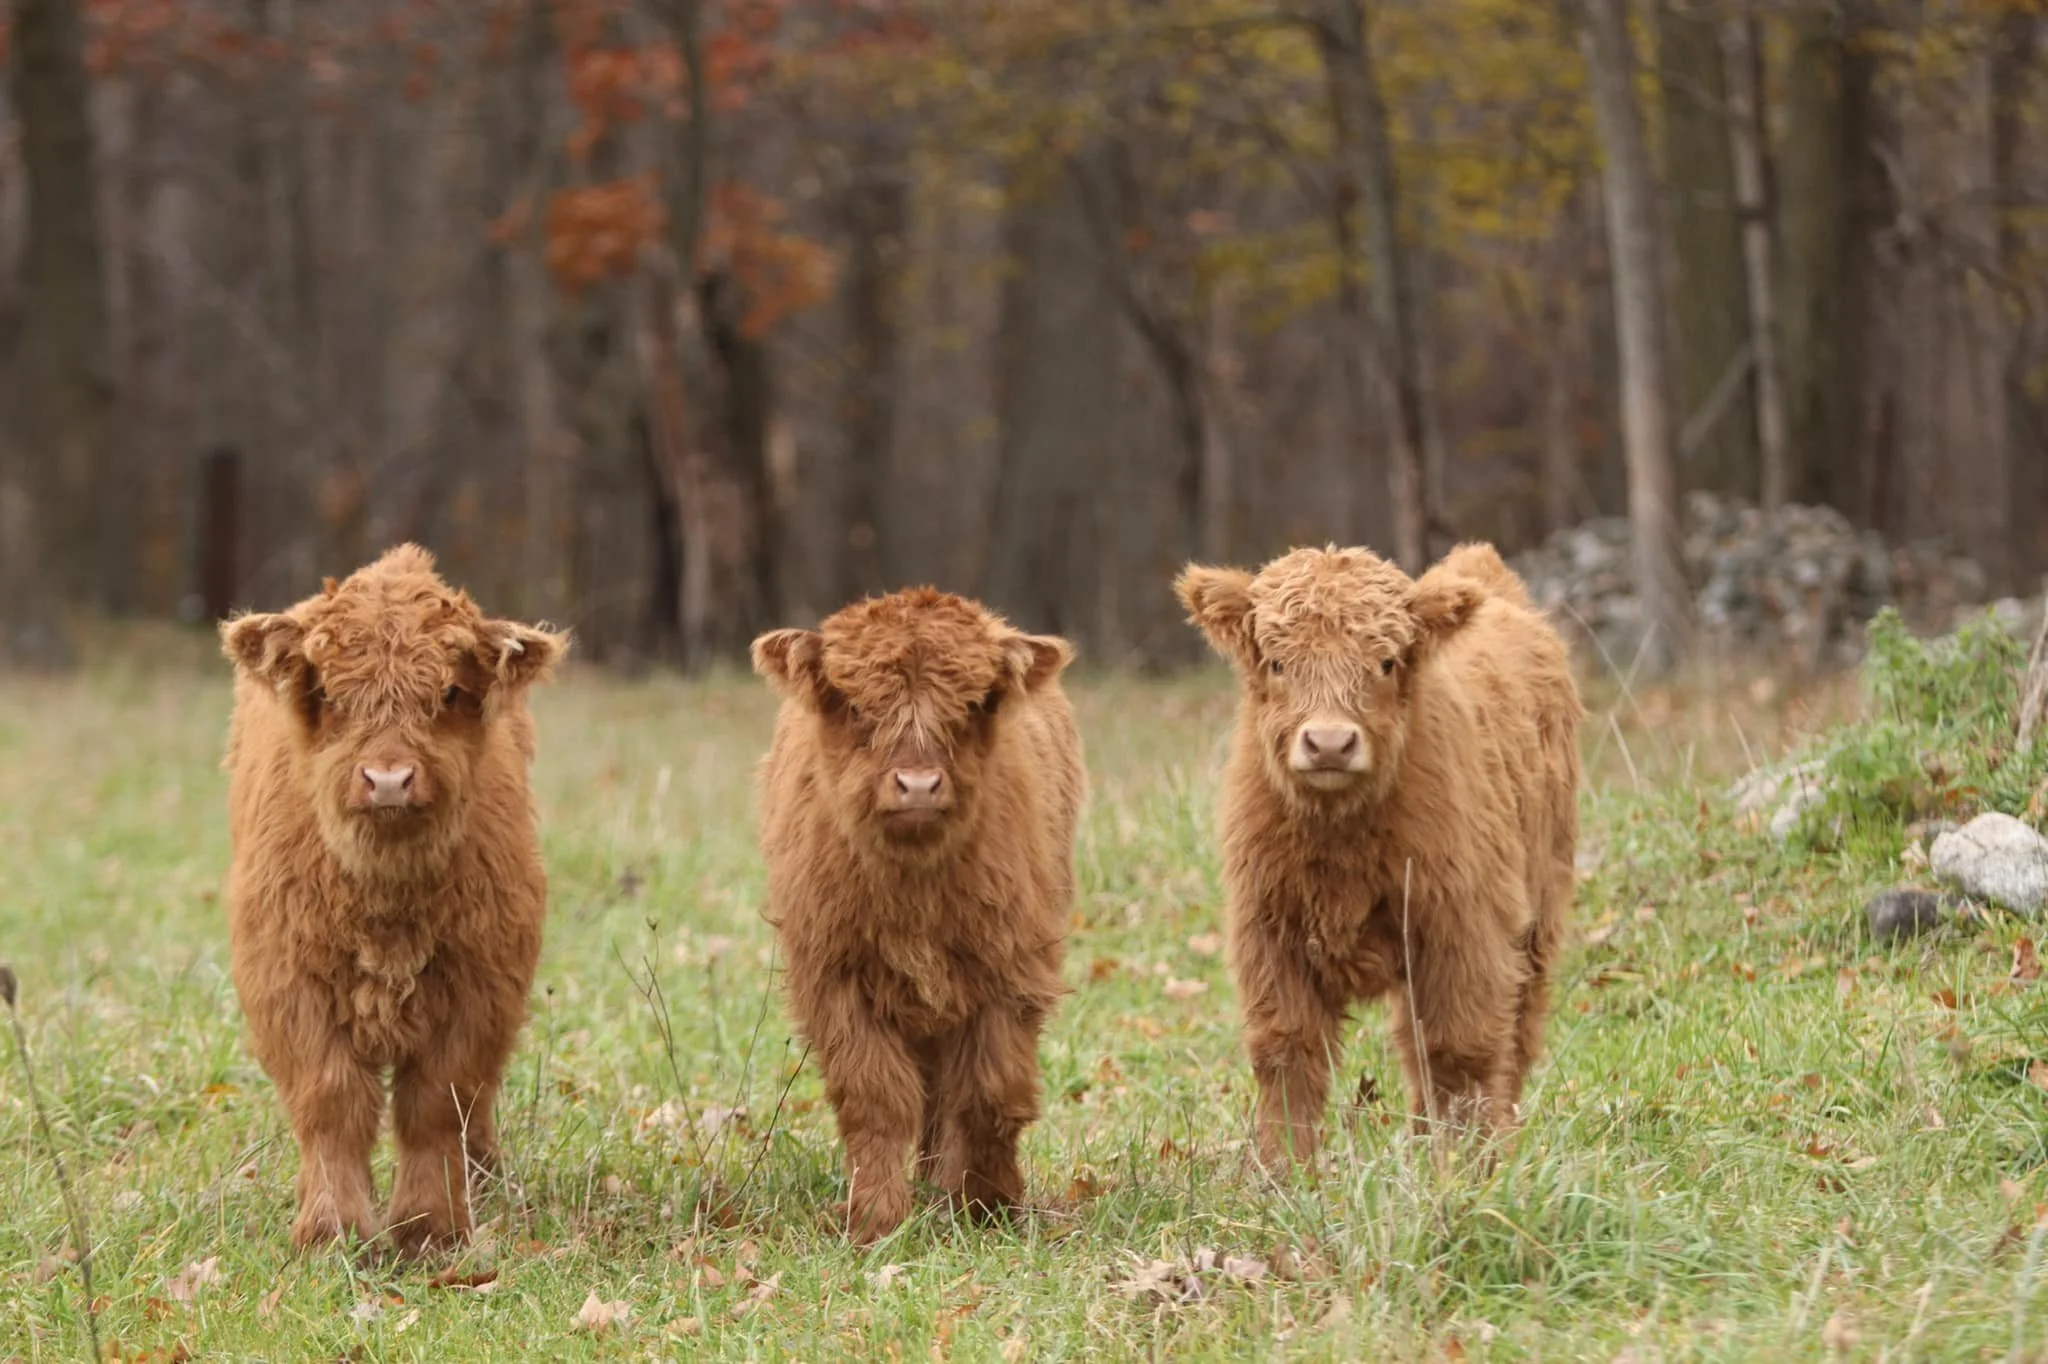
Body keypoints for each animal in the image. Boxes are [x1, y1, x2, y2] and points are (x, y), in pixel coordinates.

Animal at [219, 544, 568, 1252]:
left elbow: (438, 1103)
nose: (387, 780)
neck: (386, 905)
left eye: (449, 692)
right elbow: (332, 1103)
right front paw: (331, 1230)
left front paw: (430, 1228)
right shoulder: (288, 985)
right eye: (328, 692)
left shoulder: (480, 987)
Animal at [750, 588, 1085, 1242]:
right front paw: (876, 1218)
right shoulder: (835, 978)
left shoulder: (1011, 970)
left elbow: (988, 1093)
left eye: (976, 703)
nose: (920, 784)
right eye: (856, 705)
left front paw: (987, 1205)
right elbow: (876, 1097)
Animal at [1175, 541, 1582, 1167]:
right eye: (1277, 662)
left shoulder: (1462, 931)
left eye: (1386, 662)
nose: (1329, 743)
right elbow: (1287, 1054)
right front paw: (1285, 1172)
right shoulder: (1269, 933)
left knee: (1513, 1031)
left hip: (1538, 913)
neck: (1340, 840)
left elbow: (1461, 1050)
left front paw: (1469, 1167)